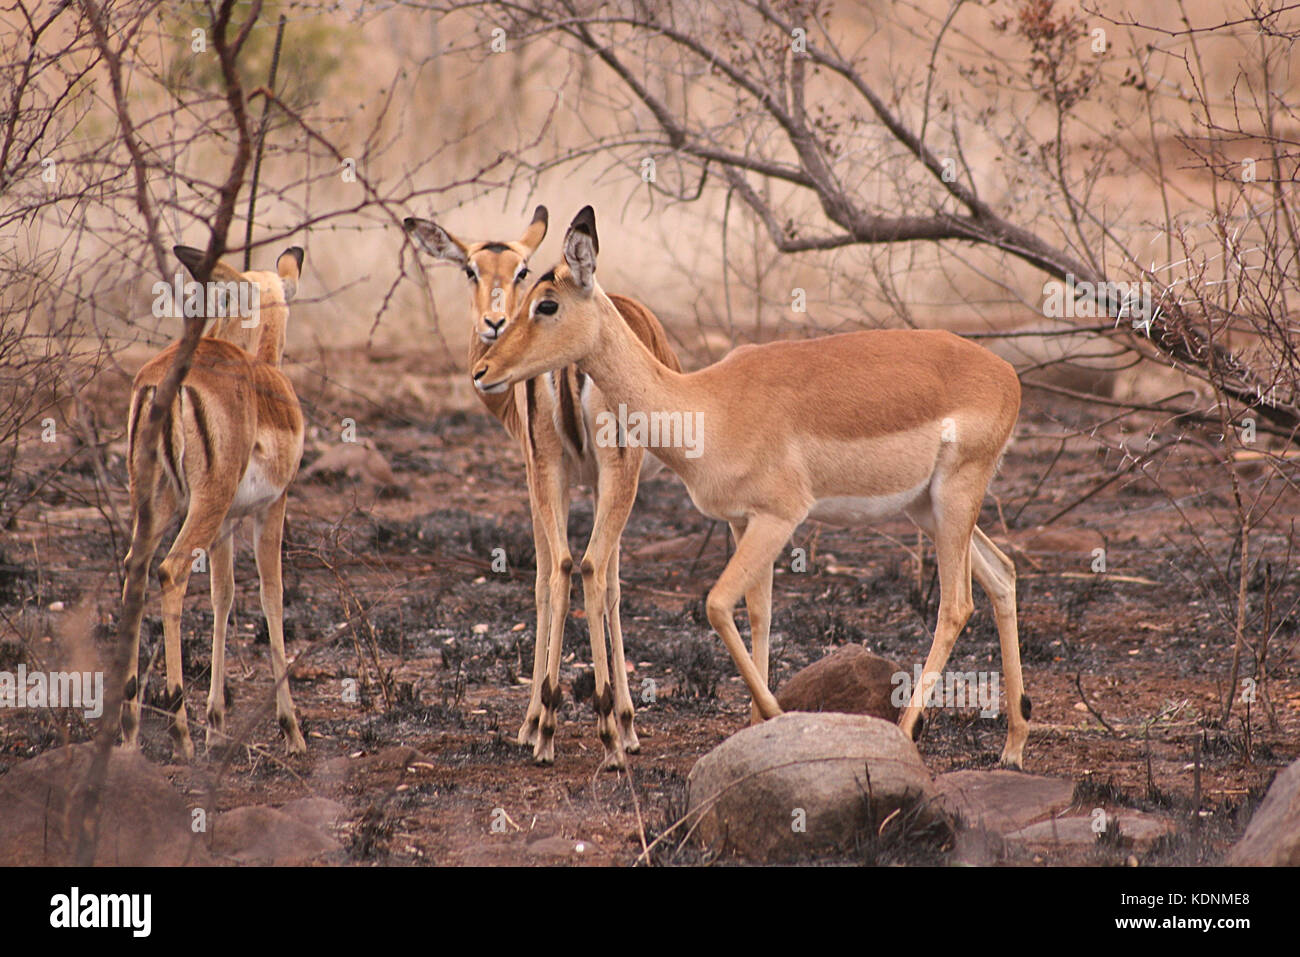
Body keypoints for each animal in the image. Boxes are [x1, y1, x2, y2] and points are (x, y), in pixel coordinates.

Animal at [119, 245, 307, 761]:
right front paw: (291, 729)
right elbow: (271, 595)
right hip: (202, 505)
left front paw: (217, 724)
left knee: (135, 569)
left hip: (159, 505)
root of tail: (162, 383)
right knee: (171, 571)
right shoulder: (271, 508)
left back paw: (130, 728)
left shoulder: (226, 523)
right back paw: (179, 732)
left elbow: (224, 597)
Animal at [403, 208, 682, 770]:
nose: (494, 323)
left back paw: (553, 726)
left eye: (521, 270)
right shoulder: (583, 480)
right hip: (596, 476)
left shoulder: (550, 476)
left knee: (562, 568)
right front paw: (621, 723)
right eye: (470, 269)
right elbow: (605, 585)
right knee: (583, 567)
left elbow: (556, 580)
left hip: (558, 474)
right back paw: (594, 732)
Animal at [472, 207, 1031, 768]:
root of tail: (1008, 374)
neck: (707, 404)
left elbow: (717, 604)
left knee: (956, 604)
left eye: (547, 303)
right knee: (1002, 573)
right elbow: (758, 611)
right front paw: (761, 728)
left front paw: (776, 716)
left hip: (955, 496)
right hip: (927, 507)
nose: (483, 370)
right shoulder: (744, 521)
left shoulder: (779, 517)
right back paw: (1013, 746)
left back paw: (913, 730)